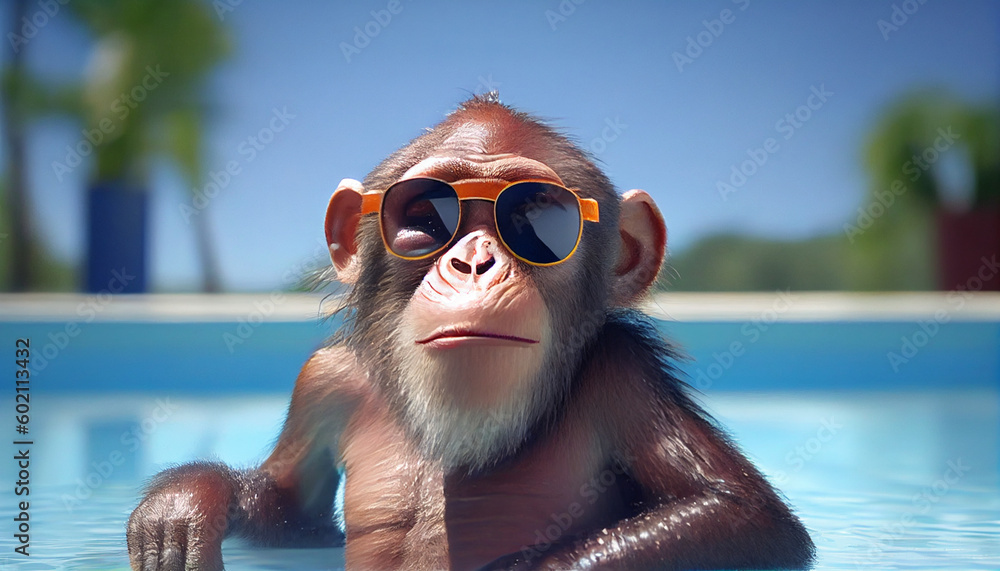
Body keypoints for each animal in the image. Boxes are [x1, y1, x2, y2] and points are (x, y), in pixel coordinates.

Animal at [127, 94, 814, 570]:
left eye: (536, 213)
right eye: (425, 215)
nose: (474, 261)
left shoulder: (623, 369)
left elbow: (740, 512)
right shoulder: (323, 380)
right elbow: (291, 509)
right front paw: (187, 498)